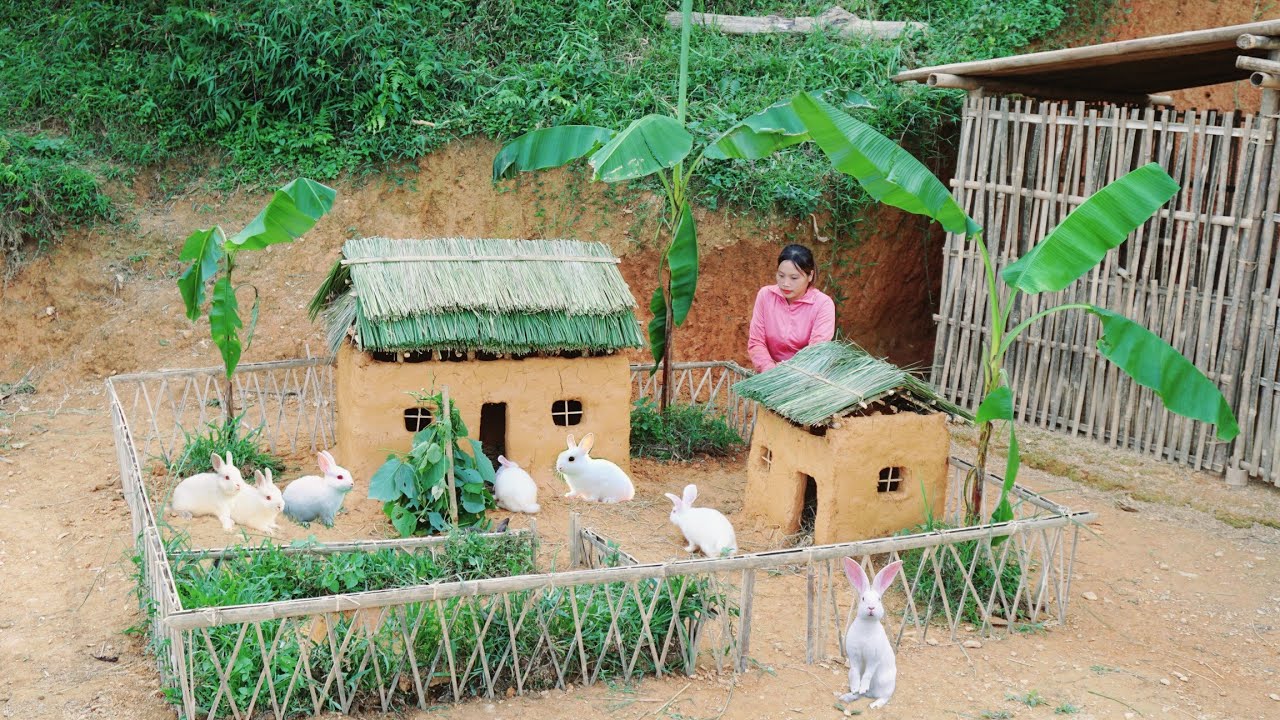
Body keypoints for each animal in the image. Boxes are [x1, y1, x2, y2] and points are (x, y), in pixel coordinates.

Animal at [839, 558, 903, 709]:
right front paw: (856, 687)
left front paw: (863, 687)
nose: (871, 608)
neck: (867, 624)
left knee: (884, 697)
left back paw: (874, 704)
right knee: (858, 695)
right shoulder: (854, 656)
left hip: (886, 683)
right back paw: (848, 696)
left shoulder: (873, 658)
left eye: (879, 599)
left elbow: (868, 674)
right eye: (863, 598)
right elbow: (856, 672)